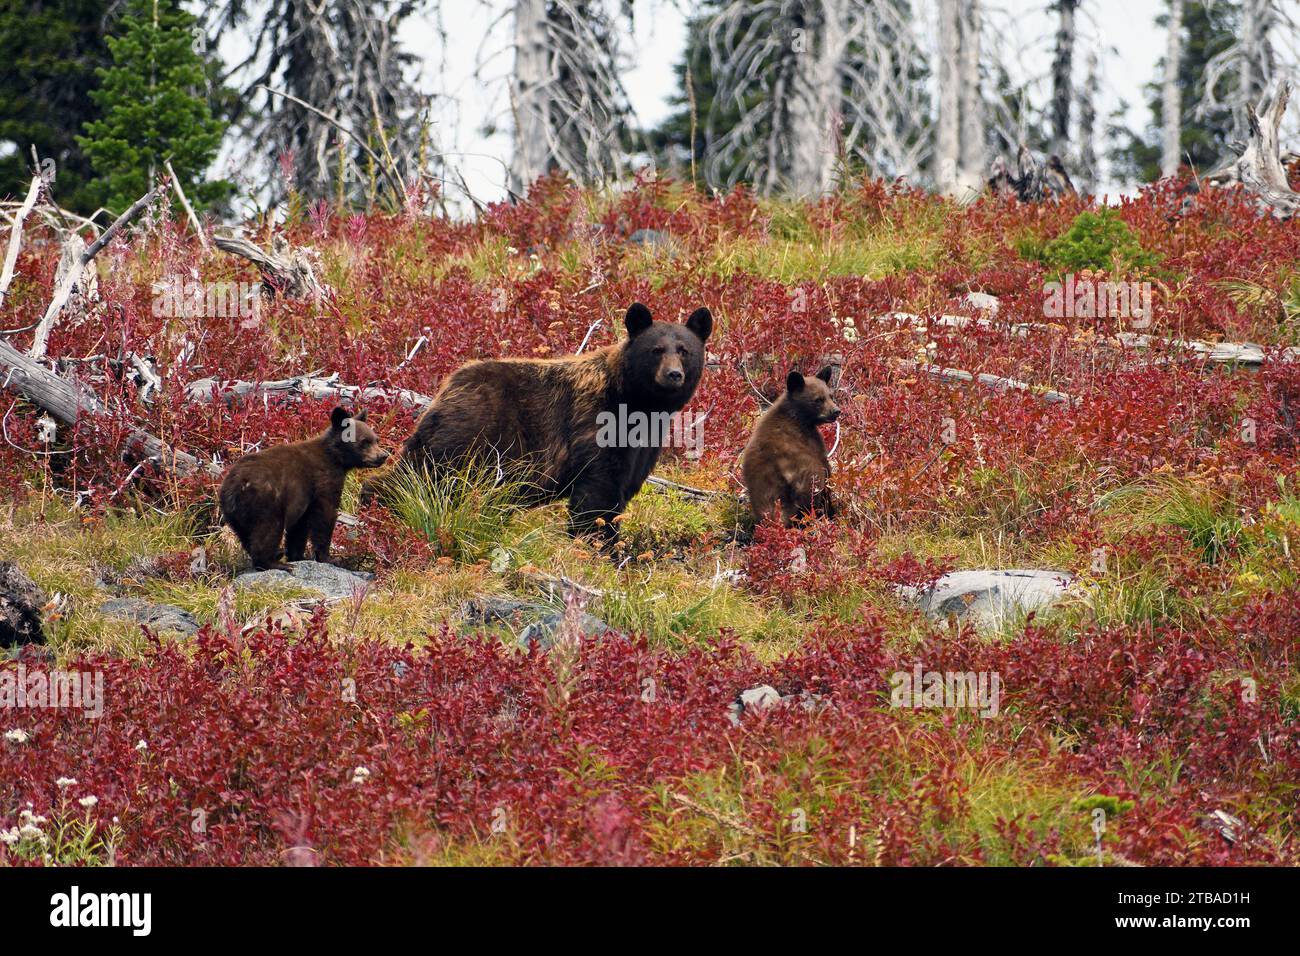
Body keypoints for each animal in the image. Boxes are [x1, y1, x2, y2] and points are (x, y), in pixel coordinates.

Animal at [219, 407, 390, 570]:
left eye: (376, 439)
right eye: (365, 441)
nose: (383, 455)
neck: (335, 458)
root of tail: (235, 485)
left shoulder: (303, 497)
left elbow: (299, 527)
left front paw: (297, 555)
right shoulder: (323, 481)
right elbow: (324, 515)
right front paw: (329, 558)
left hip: (235, 515)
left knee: (246, 535)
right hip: (266, 500)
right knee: (268, 530)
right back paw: (275, 563)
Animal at [368, 302, 712, 541]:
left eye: (685, 350)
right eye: (656, 349)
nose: (673, 375)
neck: (639, 405)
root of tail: (447, 386)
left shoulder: (642, 448)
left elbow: (620, 494)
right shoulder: (594, 423)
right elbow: (596, 495)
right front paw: (597, 545)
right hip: (471, 434)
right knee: (424, 473)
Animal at [740, 366, 840, 527]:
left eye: (831, 395)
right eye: (818, 399)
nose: (836, 411)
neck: (798, 417)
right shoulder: (813, 441)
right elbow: (826, 469)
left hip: (762, 491)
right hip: (808, 476)